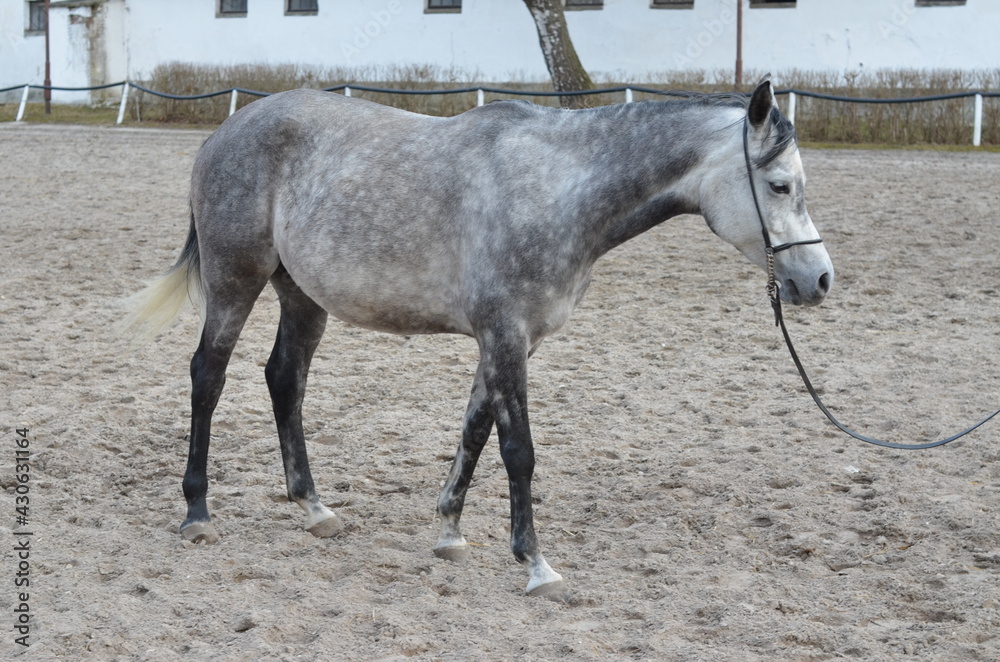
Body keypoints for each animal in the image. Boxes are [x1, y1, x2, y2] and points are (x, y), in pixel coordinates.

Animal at [121, 78, 833, 600]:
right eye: (779, 186)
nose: (818, 279)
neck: (556, 189)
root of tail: (226, 131)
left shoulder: (511, 341)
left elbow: (475, 428)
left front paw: (449, 532)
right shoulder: (505, 335)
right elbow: (518, 450)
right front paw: (536, 565)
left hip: (301, 295)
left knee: (284, 379)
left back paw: (314, 507)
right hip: (234, 282)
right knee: (208, 376)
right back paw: (197, 513)